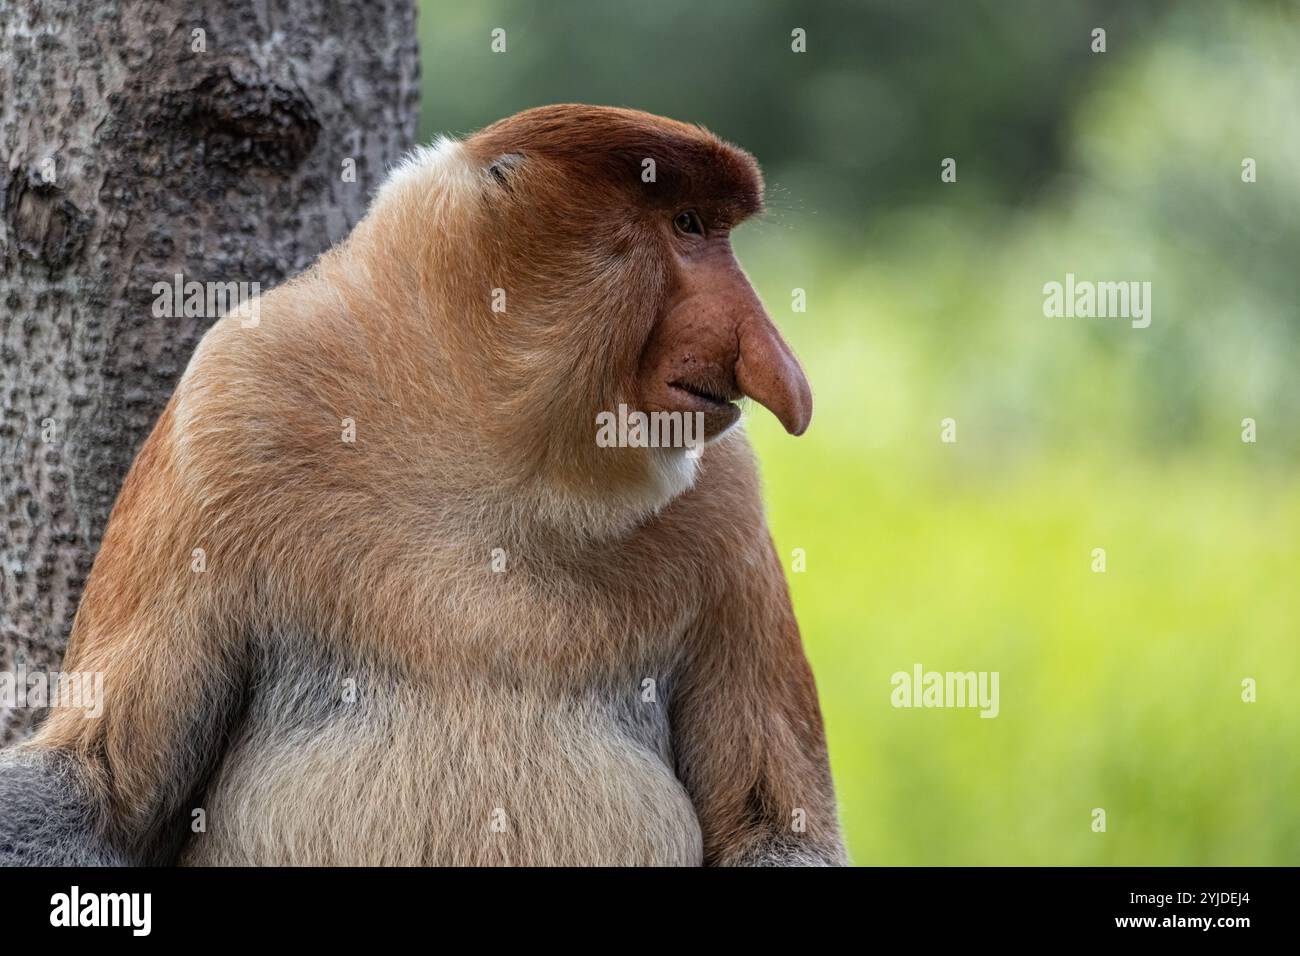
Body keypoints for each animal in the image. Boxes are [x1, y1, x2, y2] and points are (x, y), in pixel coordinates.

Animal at [0, 105, 847, 866]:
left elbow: (772, 827)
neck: (495, 449)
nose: (781, 371)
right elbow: (100, 789)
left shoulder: (730, 503)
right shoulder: (231, 404)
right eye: (688, 224)